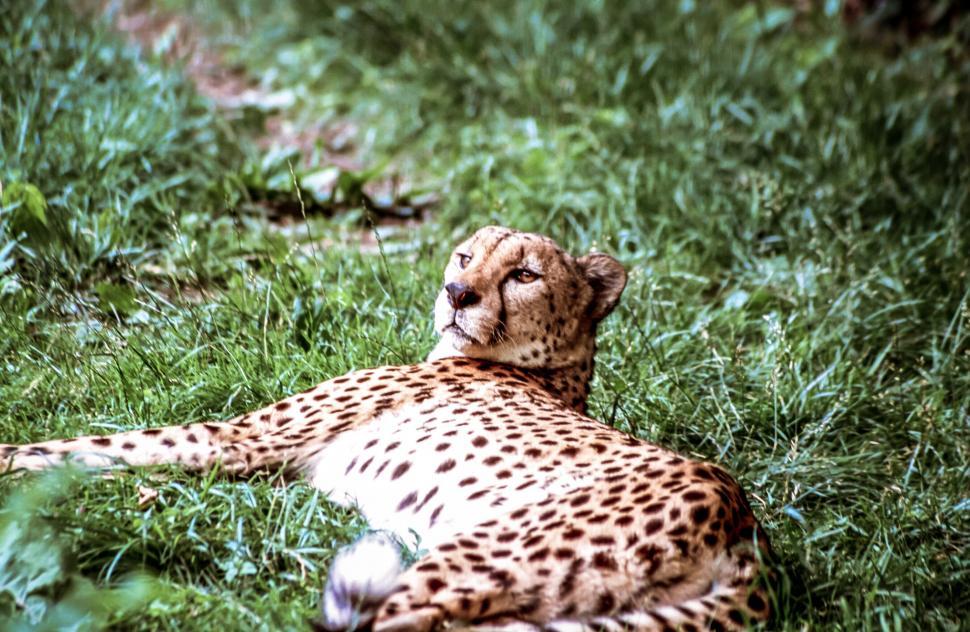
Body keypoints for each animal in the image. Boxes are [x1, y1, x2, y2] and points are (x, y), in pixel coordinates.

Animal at [1, 226, 774, 631]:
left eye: (523, 274)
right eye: (465, 257)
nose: (457, 294)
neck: (535, 371)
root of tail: (741, 517)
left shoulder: (238, 439)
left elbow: (93, 446)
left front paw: (13, 458)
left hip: (467, 555)